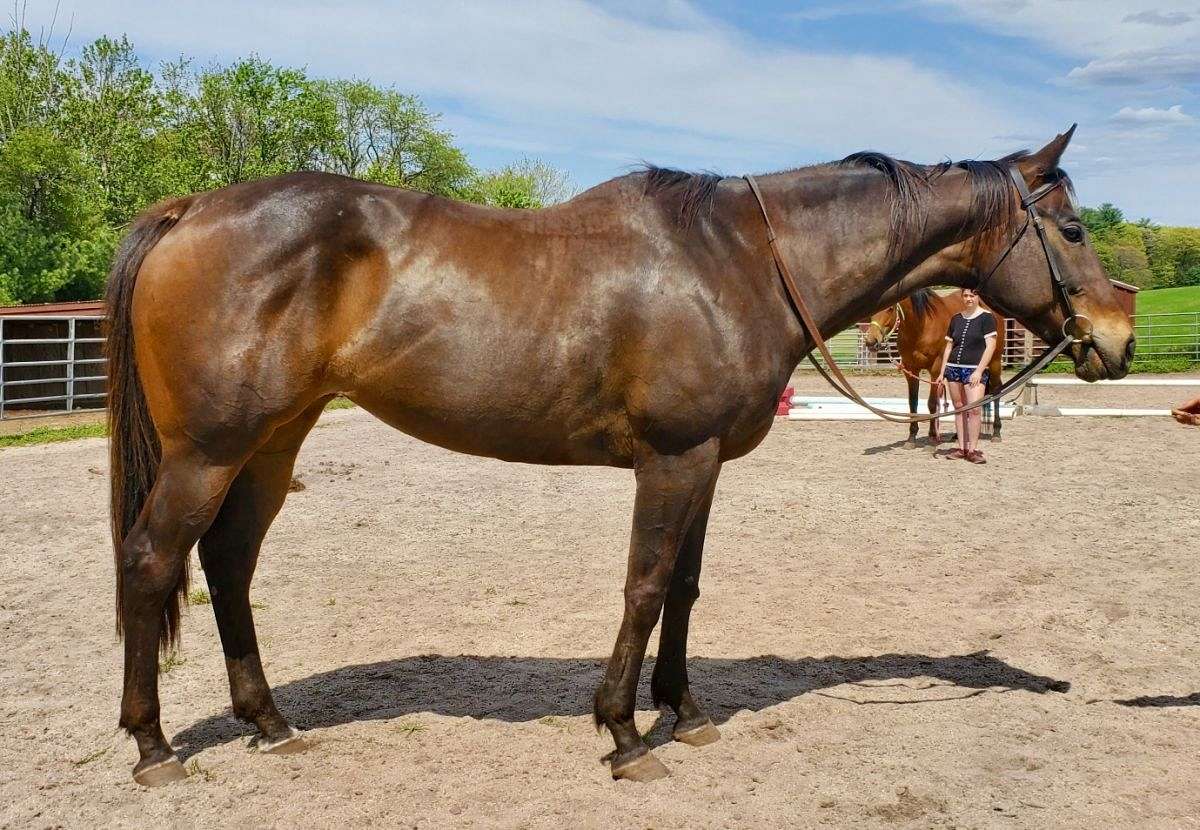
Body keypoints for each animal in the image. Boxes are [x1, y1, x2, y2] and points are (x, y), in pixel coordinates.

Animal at [864, 288, 1006, 446]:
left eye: (890, 308)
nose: (871, 341)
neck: (921, 325)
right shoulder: (911, 370)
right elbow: (912, 402)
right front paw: (911, 438)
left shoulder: (935, 370)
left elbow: (932, 403)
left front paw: (932, 436)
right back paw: (959, 435)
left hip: (994, 362)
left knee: (996, 390)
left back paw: (996, 432)